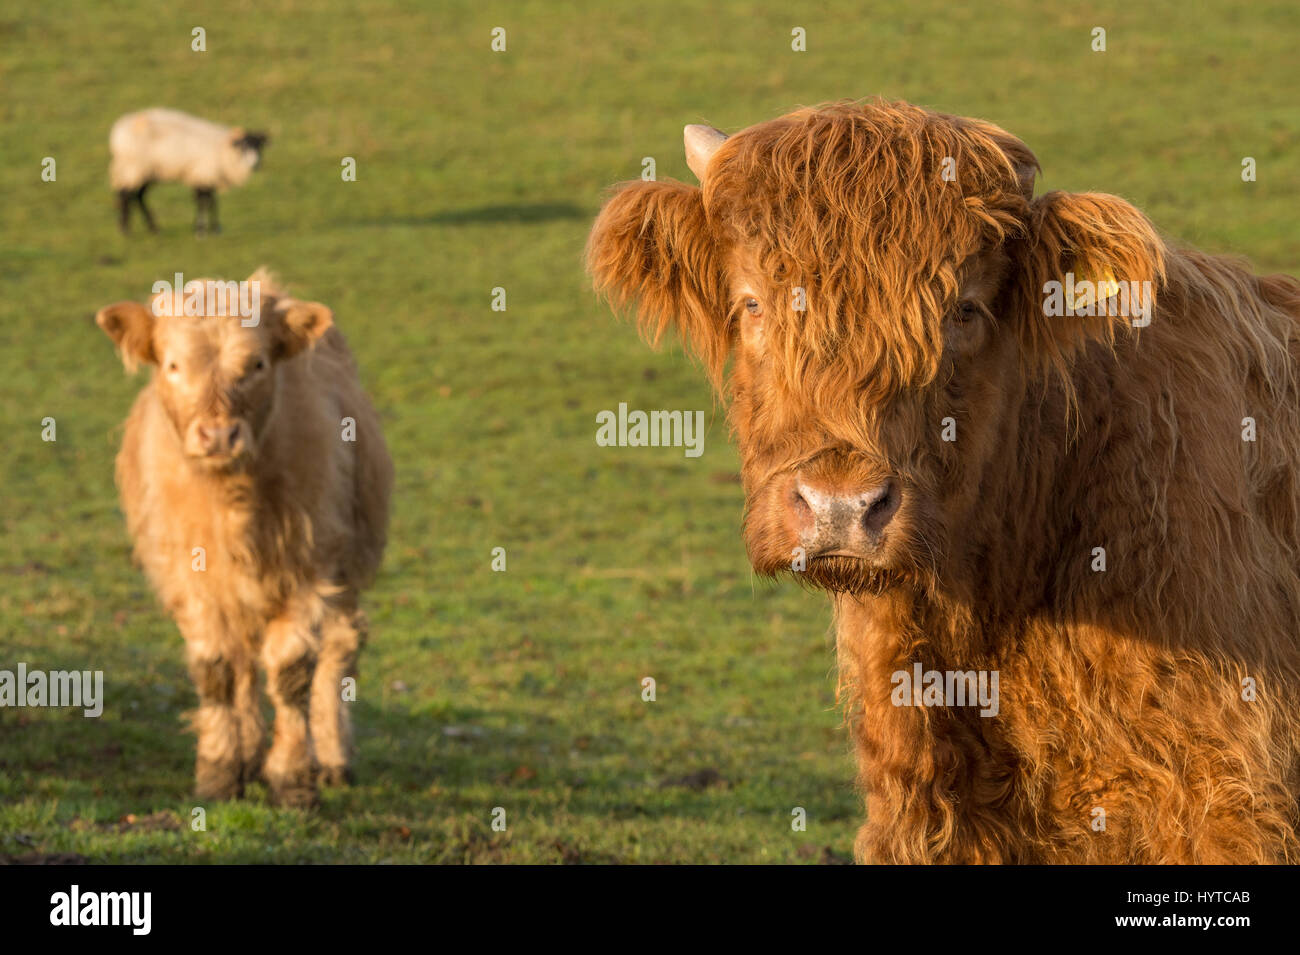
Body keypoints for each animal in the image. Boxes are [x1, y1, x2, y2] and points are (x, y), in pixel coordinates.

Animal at [95, 270, 393, 807]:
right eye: (172, 365)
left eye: (256, 364)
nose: (217, 436)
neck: (233, 504)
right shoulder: (191, 579)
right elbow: (216, 671)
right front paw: (218, 771)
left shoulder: (309, 569)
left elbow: (291, 672)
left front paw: (292, 778)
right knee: (243, 661)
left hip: (347, 564)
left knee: (340, 647)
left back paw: (332, 757)